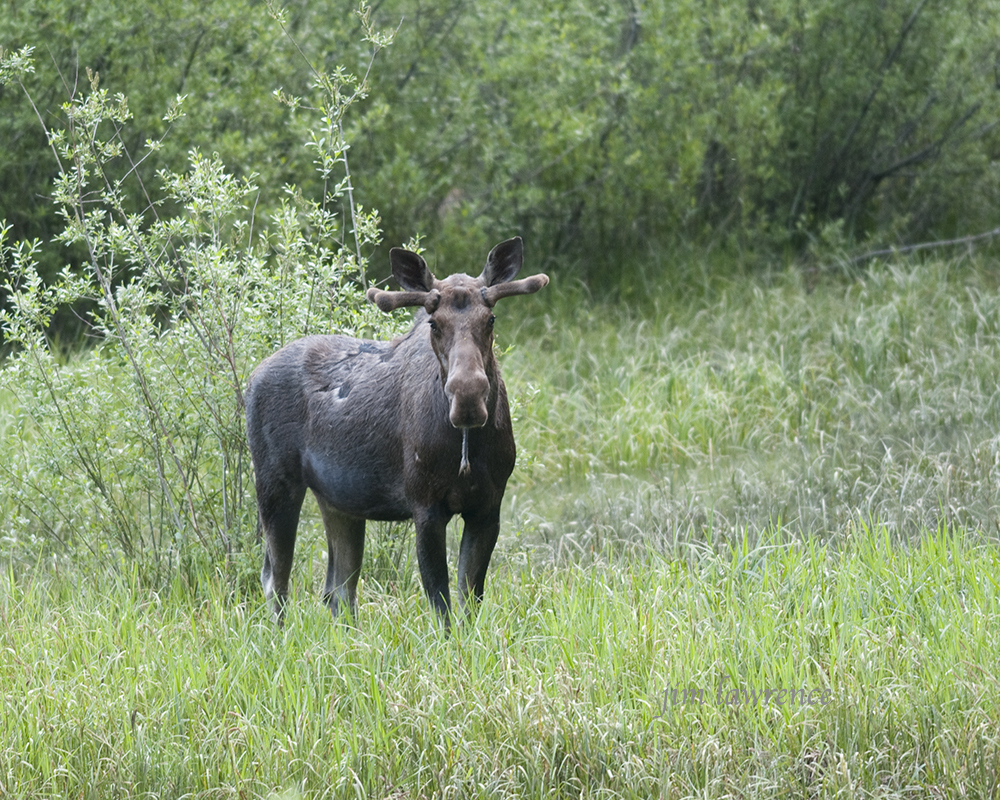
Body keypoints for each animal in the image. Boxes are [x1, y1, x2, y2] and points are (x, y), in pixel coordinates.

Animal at [245, 237, 548, 627]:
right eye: (434, 323)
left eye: (491, 318)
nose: (468, 395)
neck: (466, 446)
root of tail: (253, 376)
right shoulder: (425, 505)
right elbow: (442, 605)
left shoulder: (488, 505)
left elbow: (469, 602)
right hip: (275, 482)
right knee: (276, 580)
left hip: (338, 501)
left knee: (337, 590)